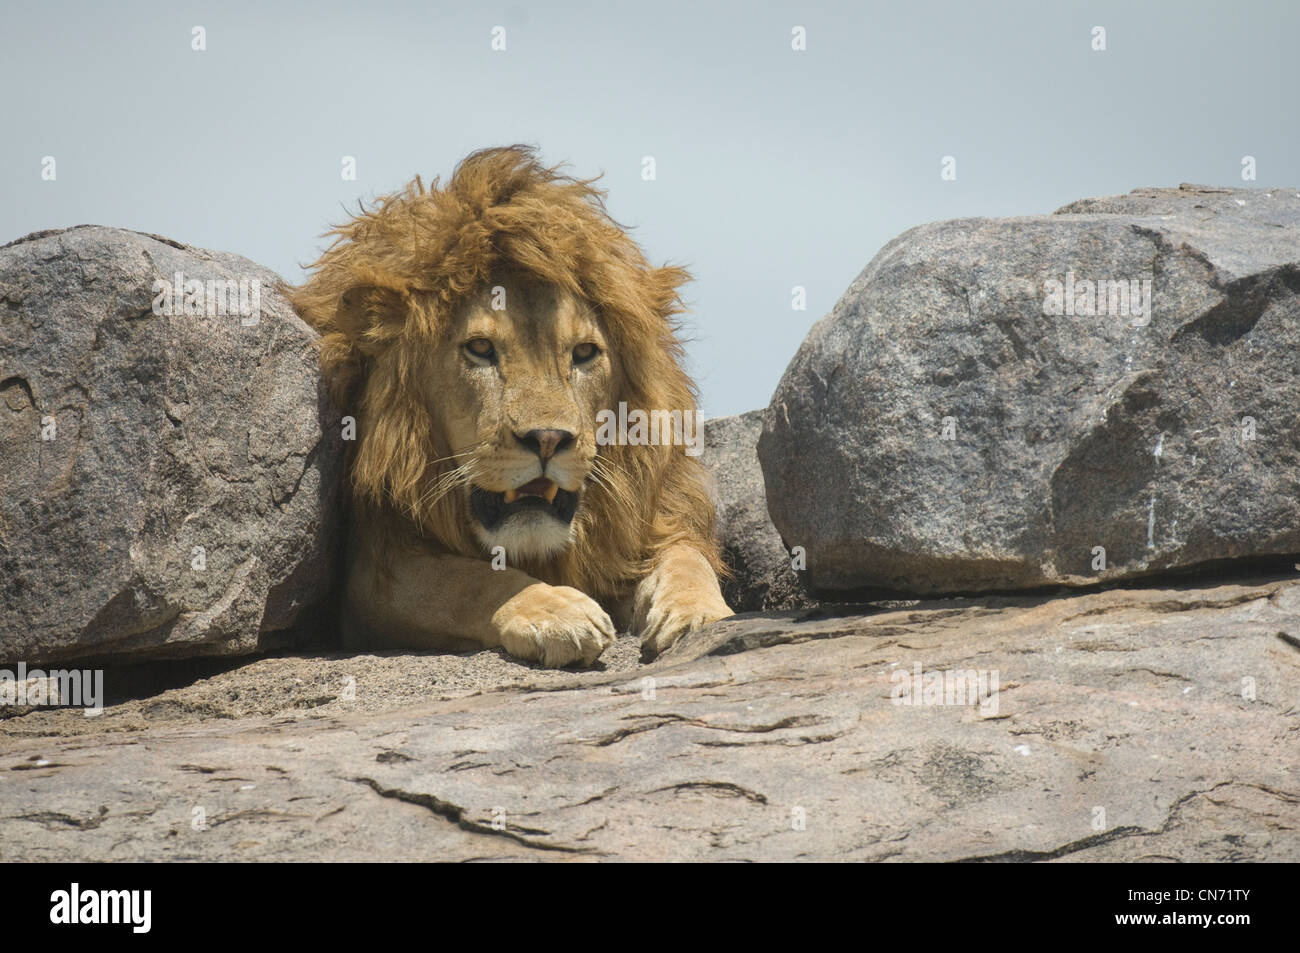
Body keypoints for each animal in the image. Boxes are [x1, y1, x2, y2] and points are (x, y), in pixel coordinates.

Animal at [291, 145, 733, 667]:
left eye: (584, 353)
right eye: (481, 348)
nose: (547, 439)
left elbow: (686, 559)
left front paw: (701, 615)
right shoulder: (373, 571)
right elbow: (466, 581)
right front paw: (556, 612)